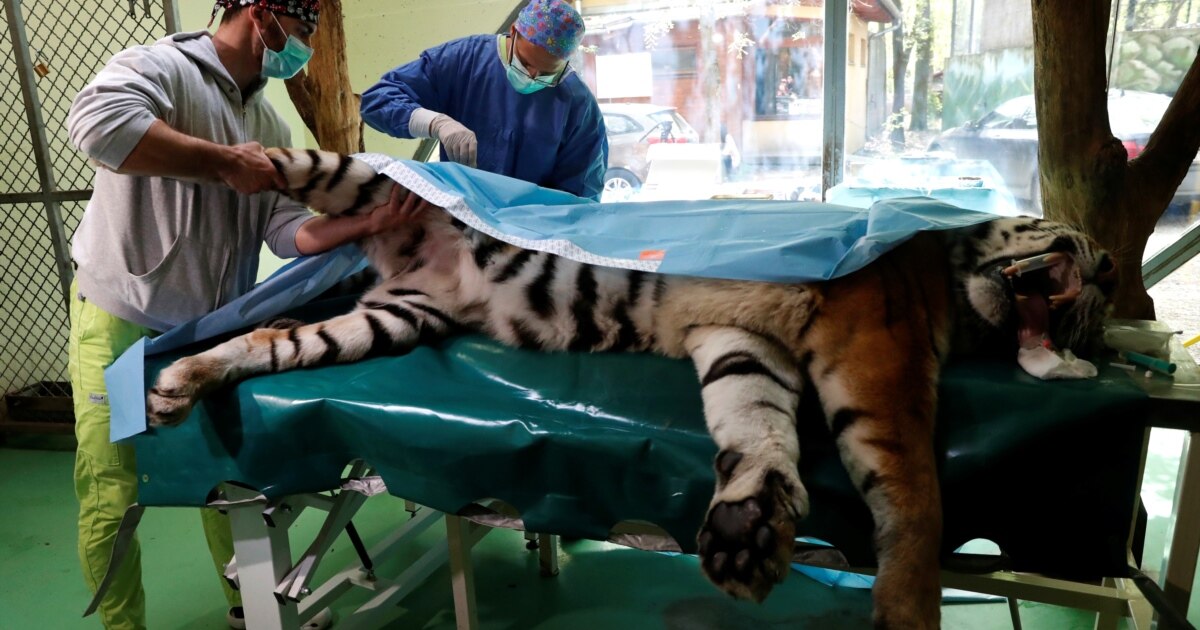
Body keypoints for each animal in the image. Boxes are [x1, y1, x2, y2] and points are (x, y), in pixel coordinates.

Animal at [146, 148, 1116, 629]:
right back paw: (164, 139)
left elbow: (757, 429)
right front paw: (908, 610)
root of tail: (397, 251)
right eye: (1092, 255)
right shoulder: (877, 359)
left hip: (391, 319)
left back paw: (177, 380)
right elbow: (916, 498)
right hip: (359, 176)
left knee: (268, 340)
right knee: (258, 157)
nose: (1101, 272)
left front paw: (747, 533)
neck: (948, 280)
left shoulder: (746, 342)